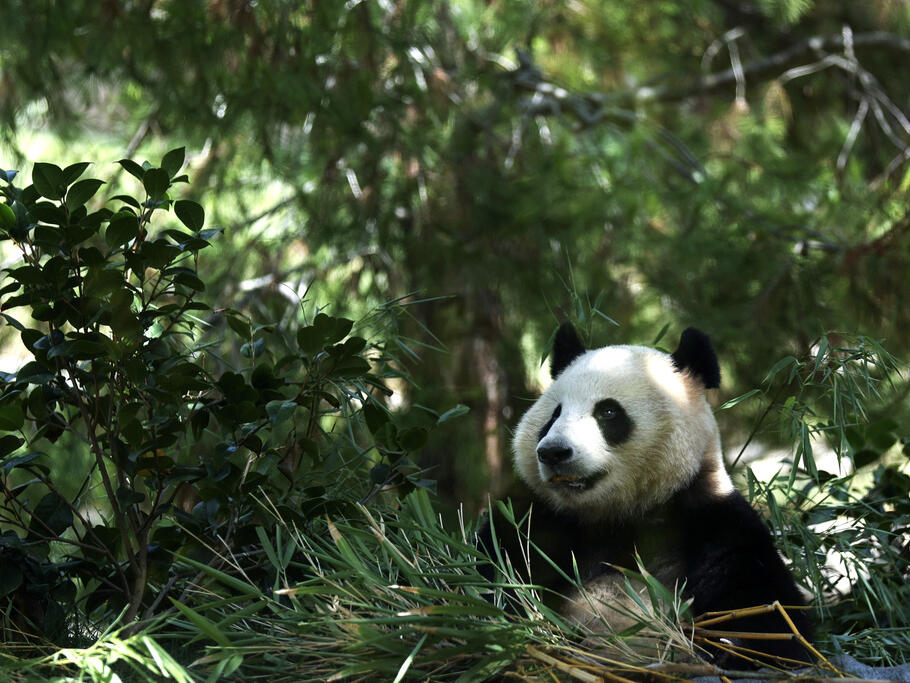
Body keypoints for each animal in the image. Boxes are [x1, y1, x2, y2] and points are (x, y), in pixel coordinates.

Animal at [480, 323, 811, 666]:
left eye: (608, 411)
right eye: (554, 415)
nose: (553, 452)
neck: (618, 513)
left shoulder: (714, 522)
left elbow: (769, 619)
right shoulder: (538, 521)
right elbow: (492, 572)